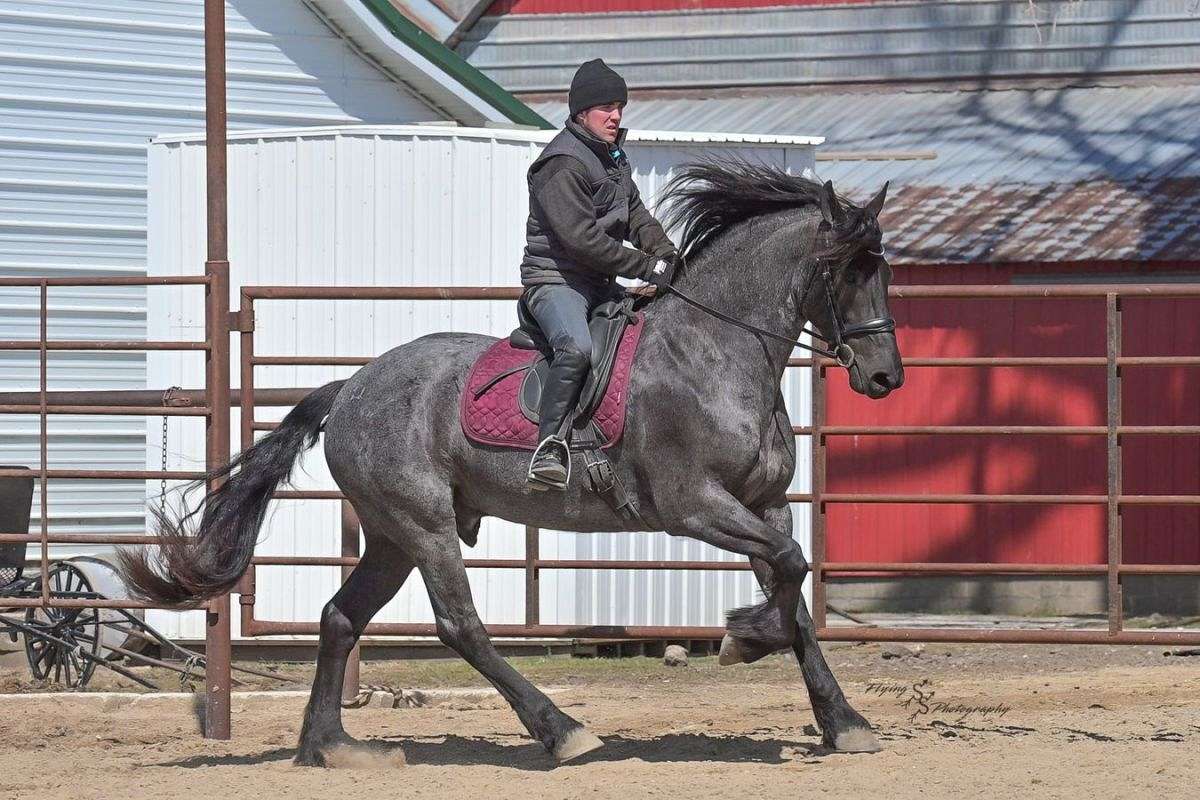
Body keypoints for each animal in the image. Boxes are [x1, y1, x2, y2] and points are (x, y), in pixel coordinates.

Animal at [119, 159, 903, 766]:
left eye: (883, 270)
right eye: (845, 271)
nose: (885, 378)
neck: (715, 352)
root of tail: (353, 387)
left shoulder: (763, 504)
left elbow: (796, 589)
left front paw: (843, 721)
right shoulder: (695, 505)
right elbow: (791, 570)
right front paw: (744, 637)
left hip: (393, 535)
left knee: (341, 616)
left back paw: (330, 747)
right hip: (425, 525)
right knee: (458, 625)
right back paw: (563, 733)